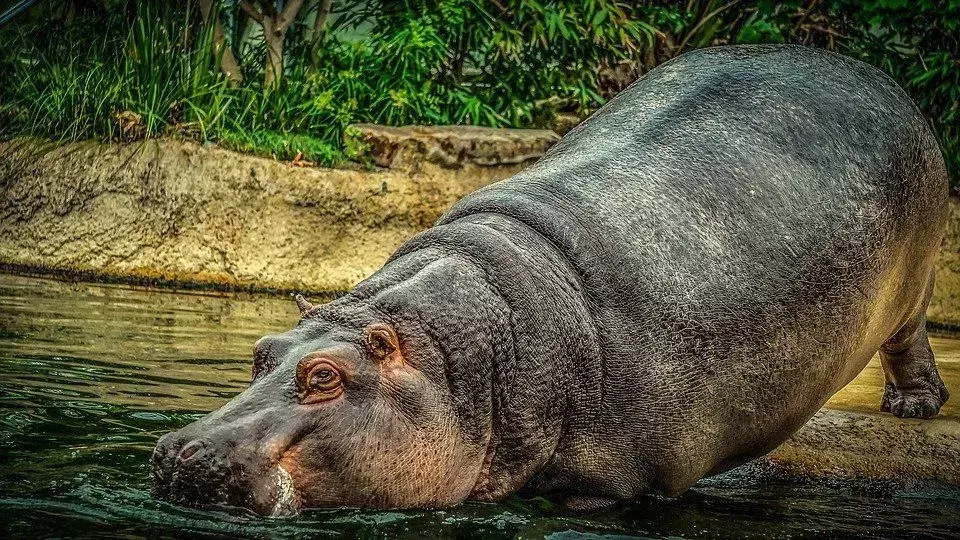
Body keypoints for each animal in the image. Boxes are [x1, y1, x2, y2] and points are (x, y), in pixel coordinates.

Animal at [152, 45, 952, 516]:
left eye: (324, 376)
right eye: (261, 352)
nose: (178, 452)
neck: (472, 359)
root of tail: (870, 73)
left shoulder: (618, 485)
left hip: (914, 278)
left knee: (910, 335)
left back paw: (914, 405)